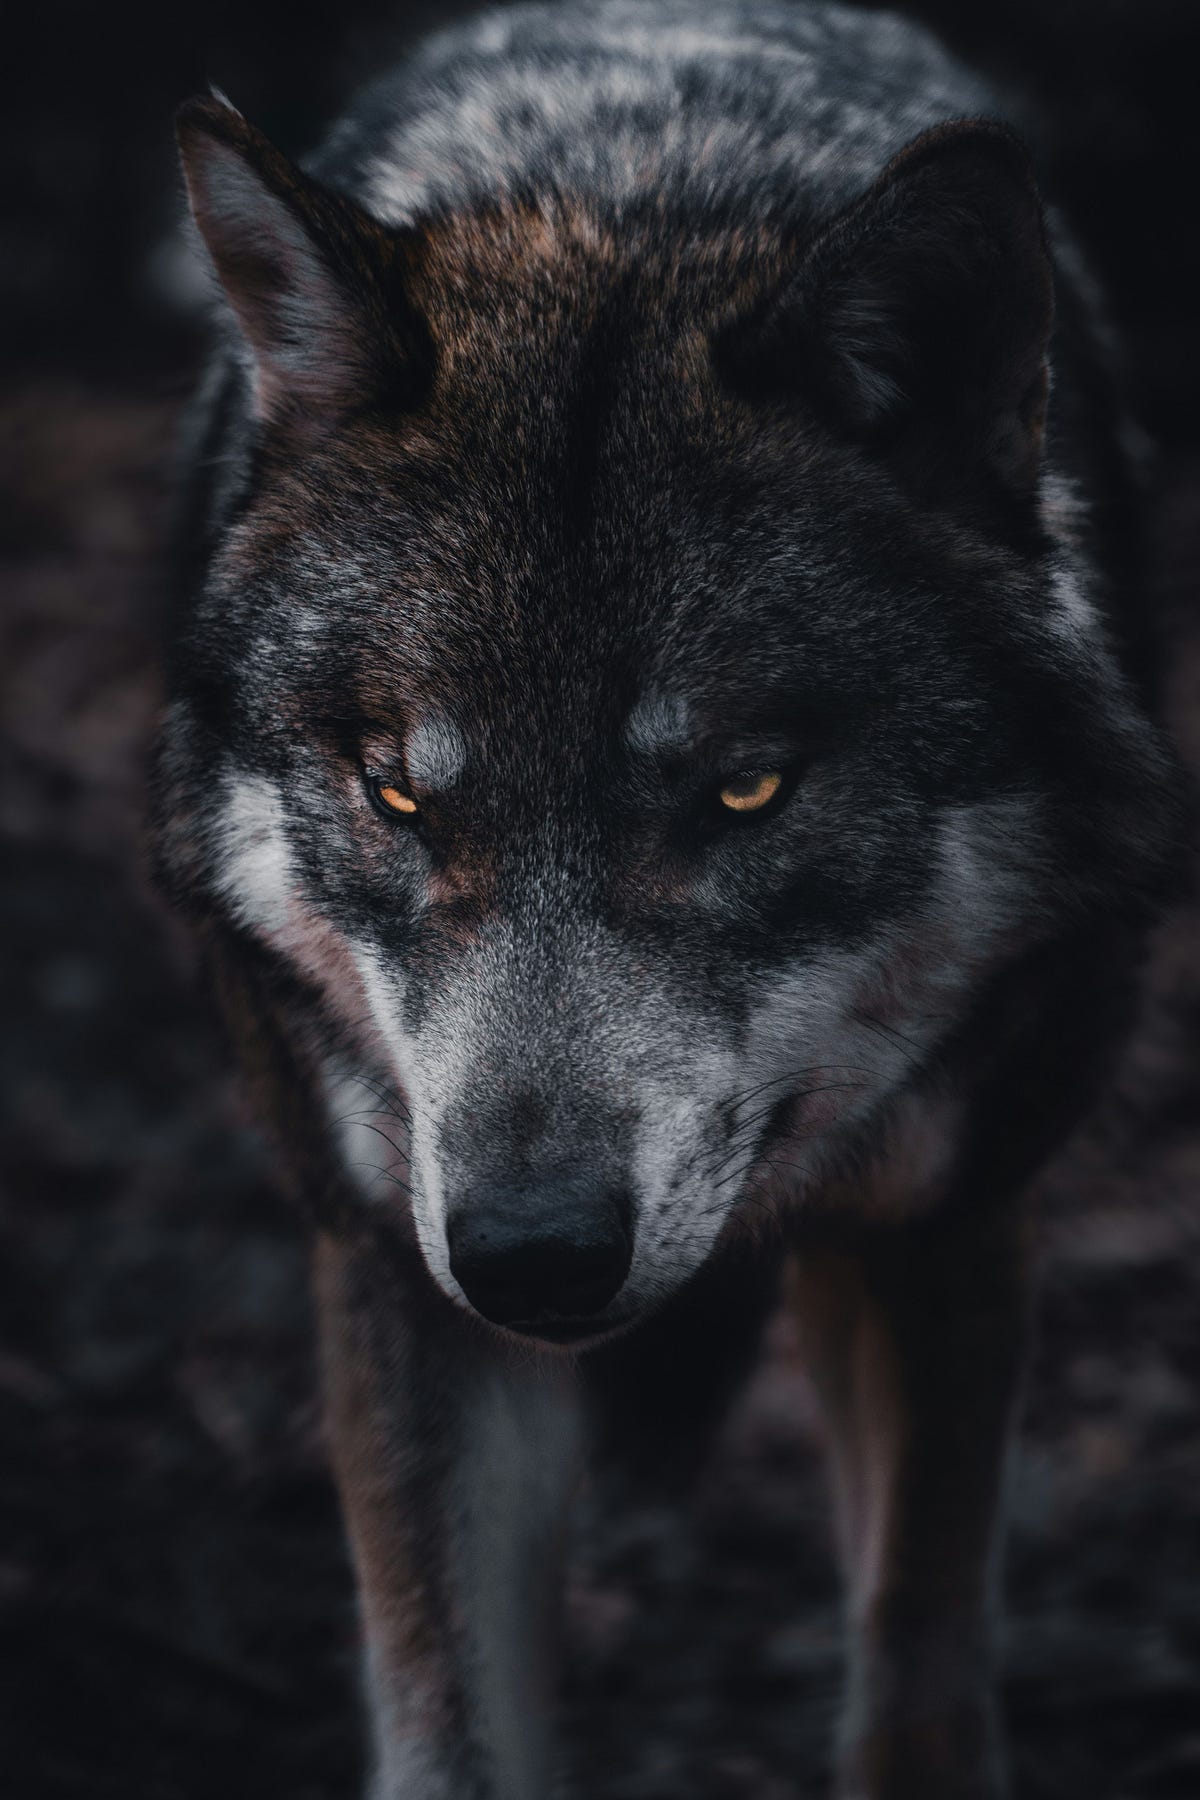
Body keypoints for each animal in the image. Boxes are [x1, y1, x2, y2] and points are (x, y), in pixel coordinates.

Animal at [154, 2, 1184, 1795]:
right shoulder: (394, 1268)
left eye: (744, 790)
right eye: (399, 794)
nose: (531, 1254)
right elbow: (451, 1727)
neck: (630, 192)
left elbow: (918, 1673)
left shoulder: (950, 1223)